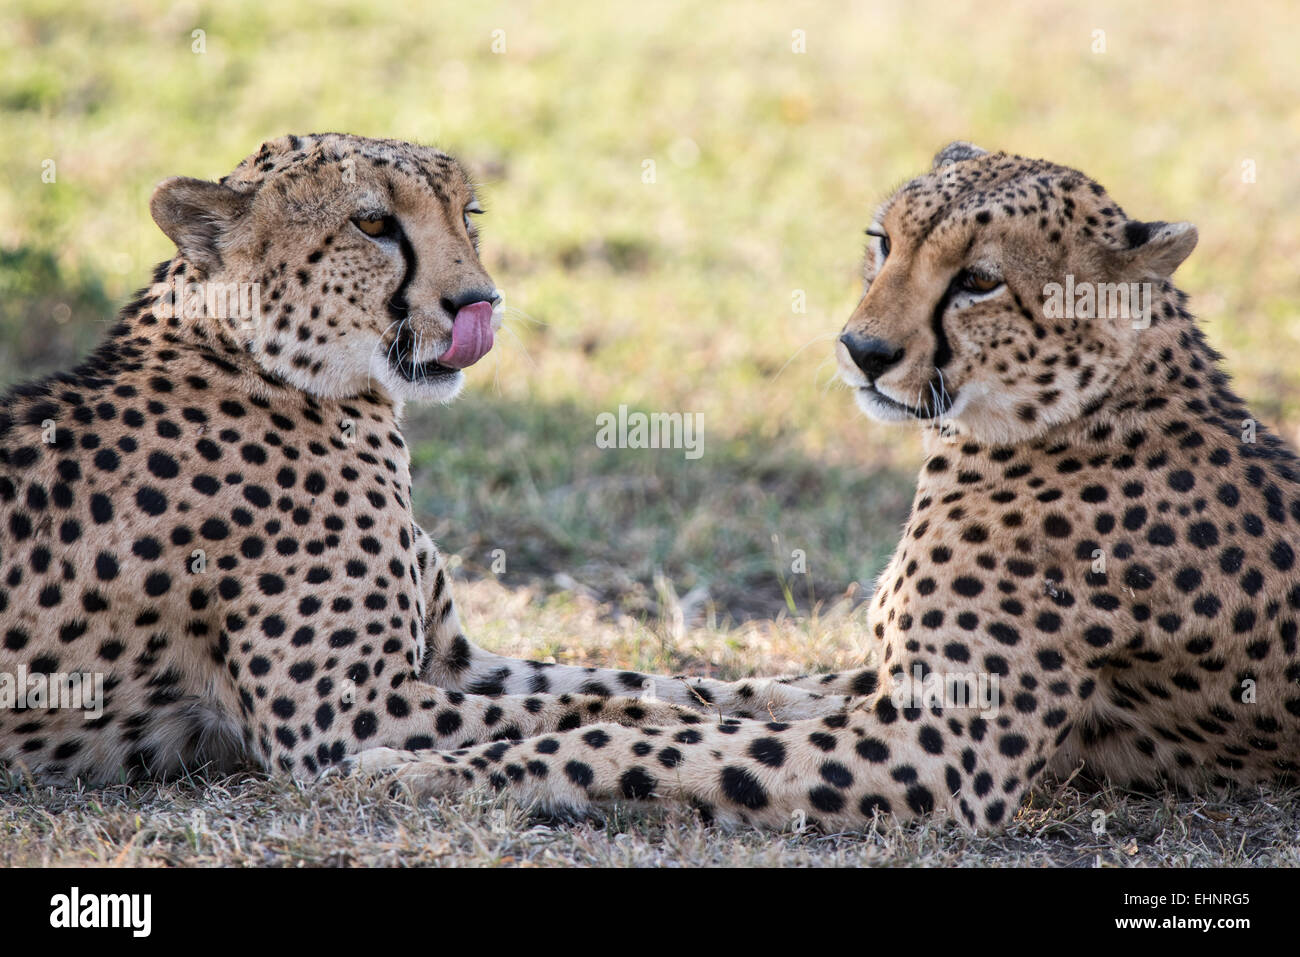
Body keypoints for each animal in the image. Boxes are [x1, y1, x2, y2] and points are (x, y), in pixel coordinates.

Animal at [0, 132, 851, 788]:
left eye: (467, 215)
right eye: (373, 221)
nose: (480, 302)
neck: (275, 370)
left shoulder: (451, 657)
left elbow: (638, 677)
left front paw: (806, 697)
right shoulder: (344, 715)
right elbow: (597, 705)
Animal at [345, 142, 1300, 832]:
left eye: (980, 280)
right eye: (885, 242)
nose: (864, 350)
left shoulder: (939, 749)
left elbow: (653, 745)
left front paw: (425, 768)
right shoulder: (887, 685)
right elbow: (733, 699)